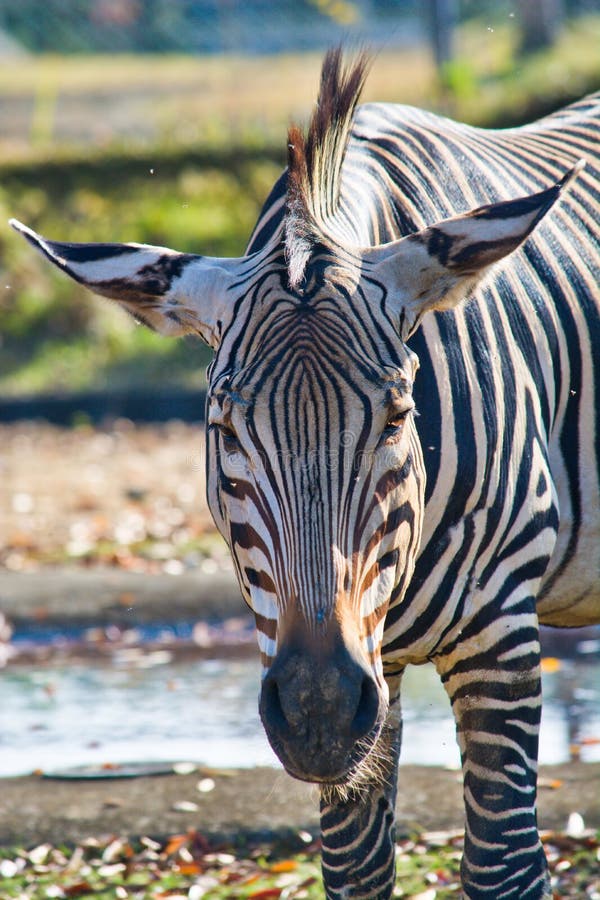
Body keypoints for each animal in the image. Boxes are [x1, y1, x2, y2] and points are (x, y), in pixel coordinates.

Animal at [10, 49, 599, 899]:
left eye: (398, 416)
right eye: (222, 430)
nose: (317, 709)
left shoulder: (500, 637)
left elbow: (503, 866)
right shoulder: (359, 671)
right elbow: (354, 868)